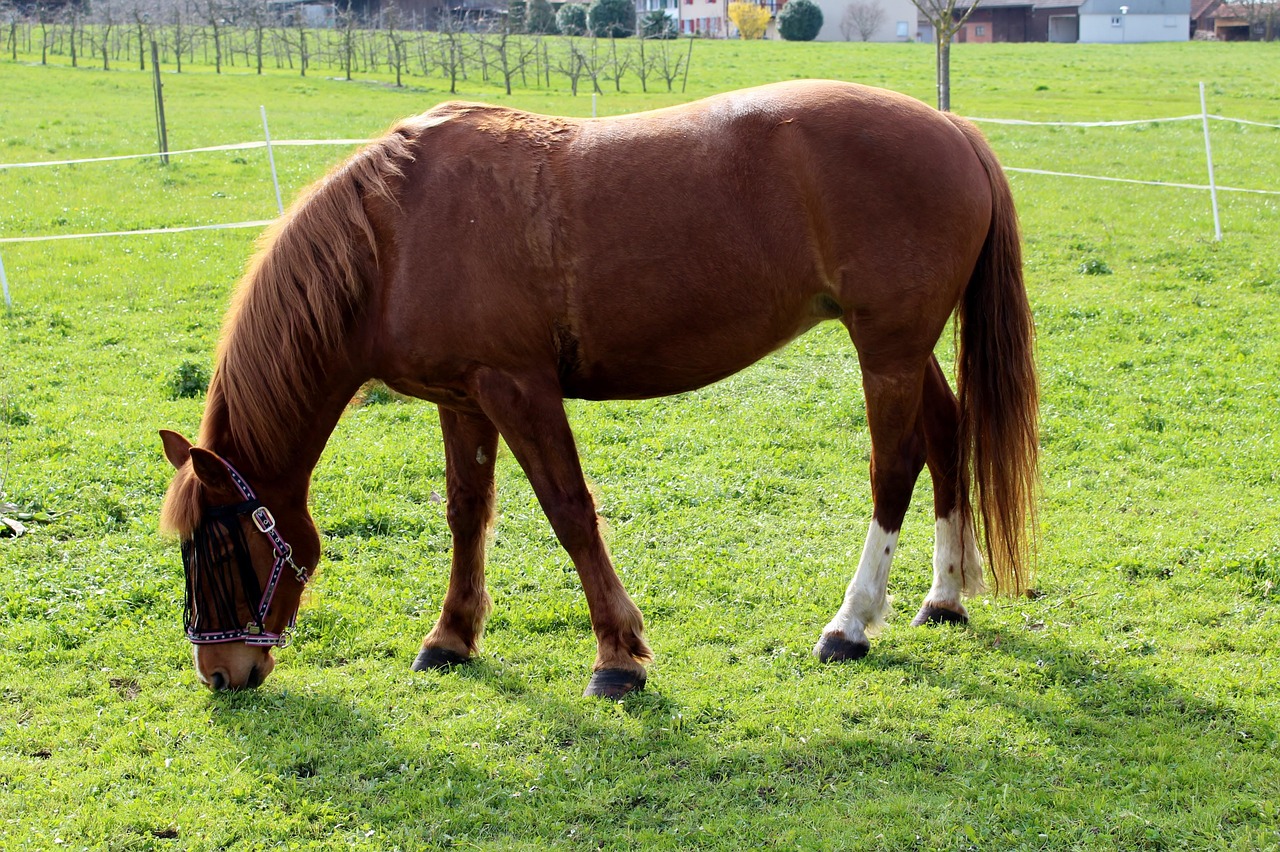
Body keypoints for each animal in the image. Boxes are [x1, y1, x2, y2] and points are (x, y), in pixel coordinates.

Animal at [159, 79, 1038, 698]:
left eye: (218, 544)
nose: (220, 675)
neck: (395, 236)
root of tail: (952, 129)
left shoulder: (518, 388)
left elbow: (570, 513)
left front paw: (618, 657)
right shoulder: (462, 399)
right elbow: (466, 513)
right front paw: (450, 638)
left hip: (885, 349)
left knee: (894, 468)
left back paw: (851, 625)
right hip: (906, 347)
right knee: (948, 435)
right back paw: (944, 598)